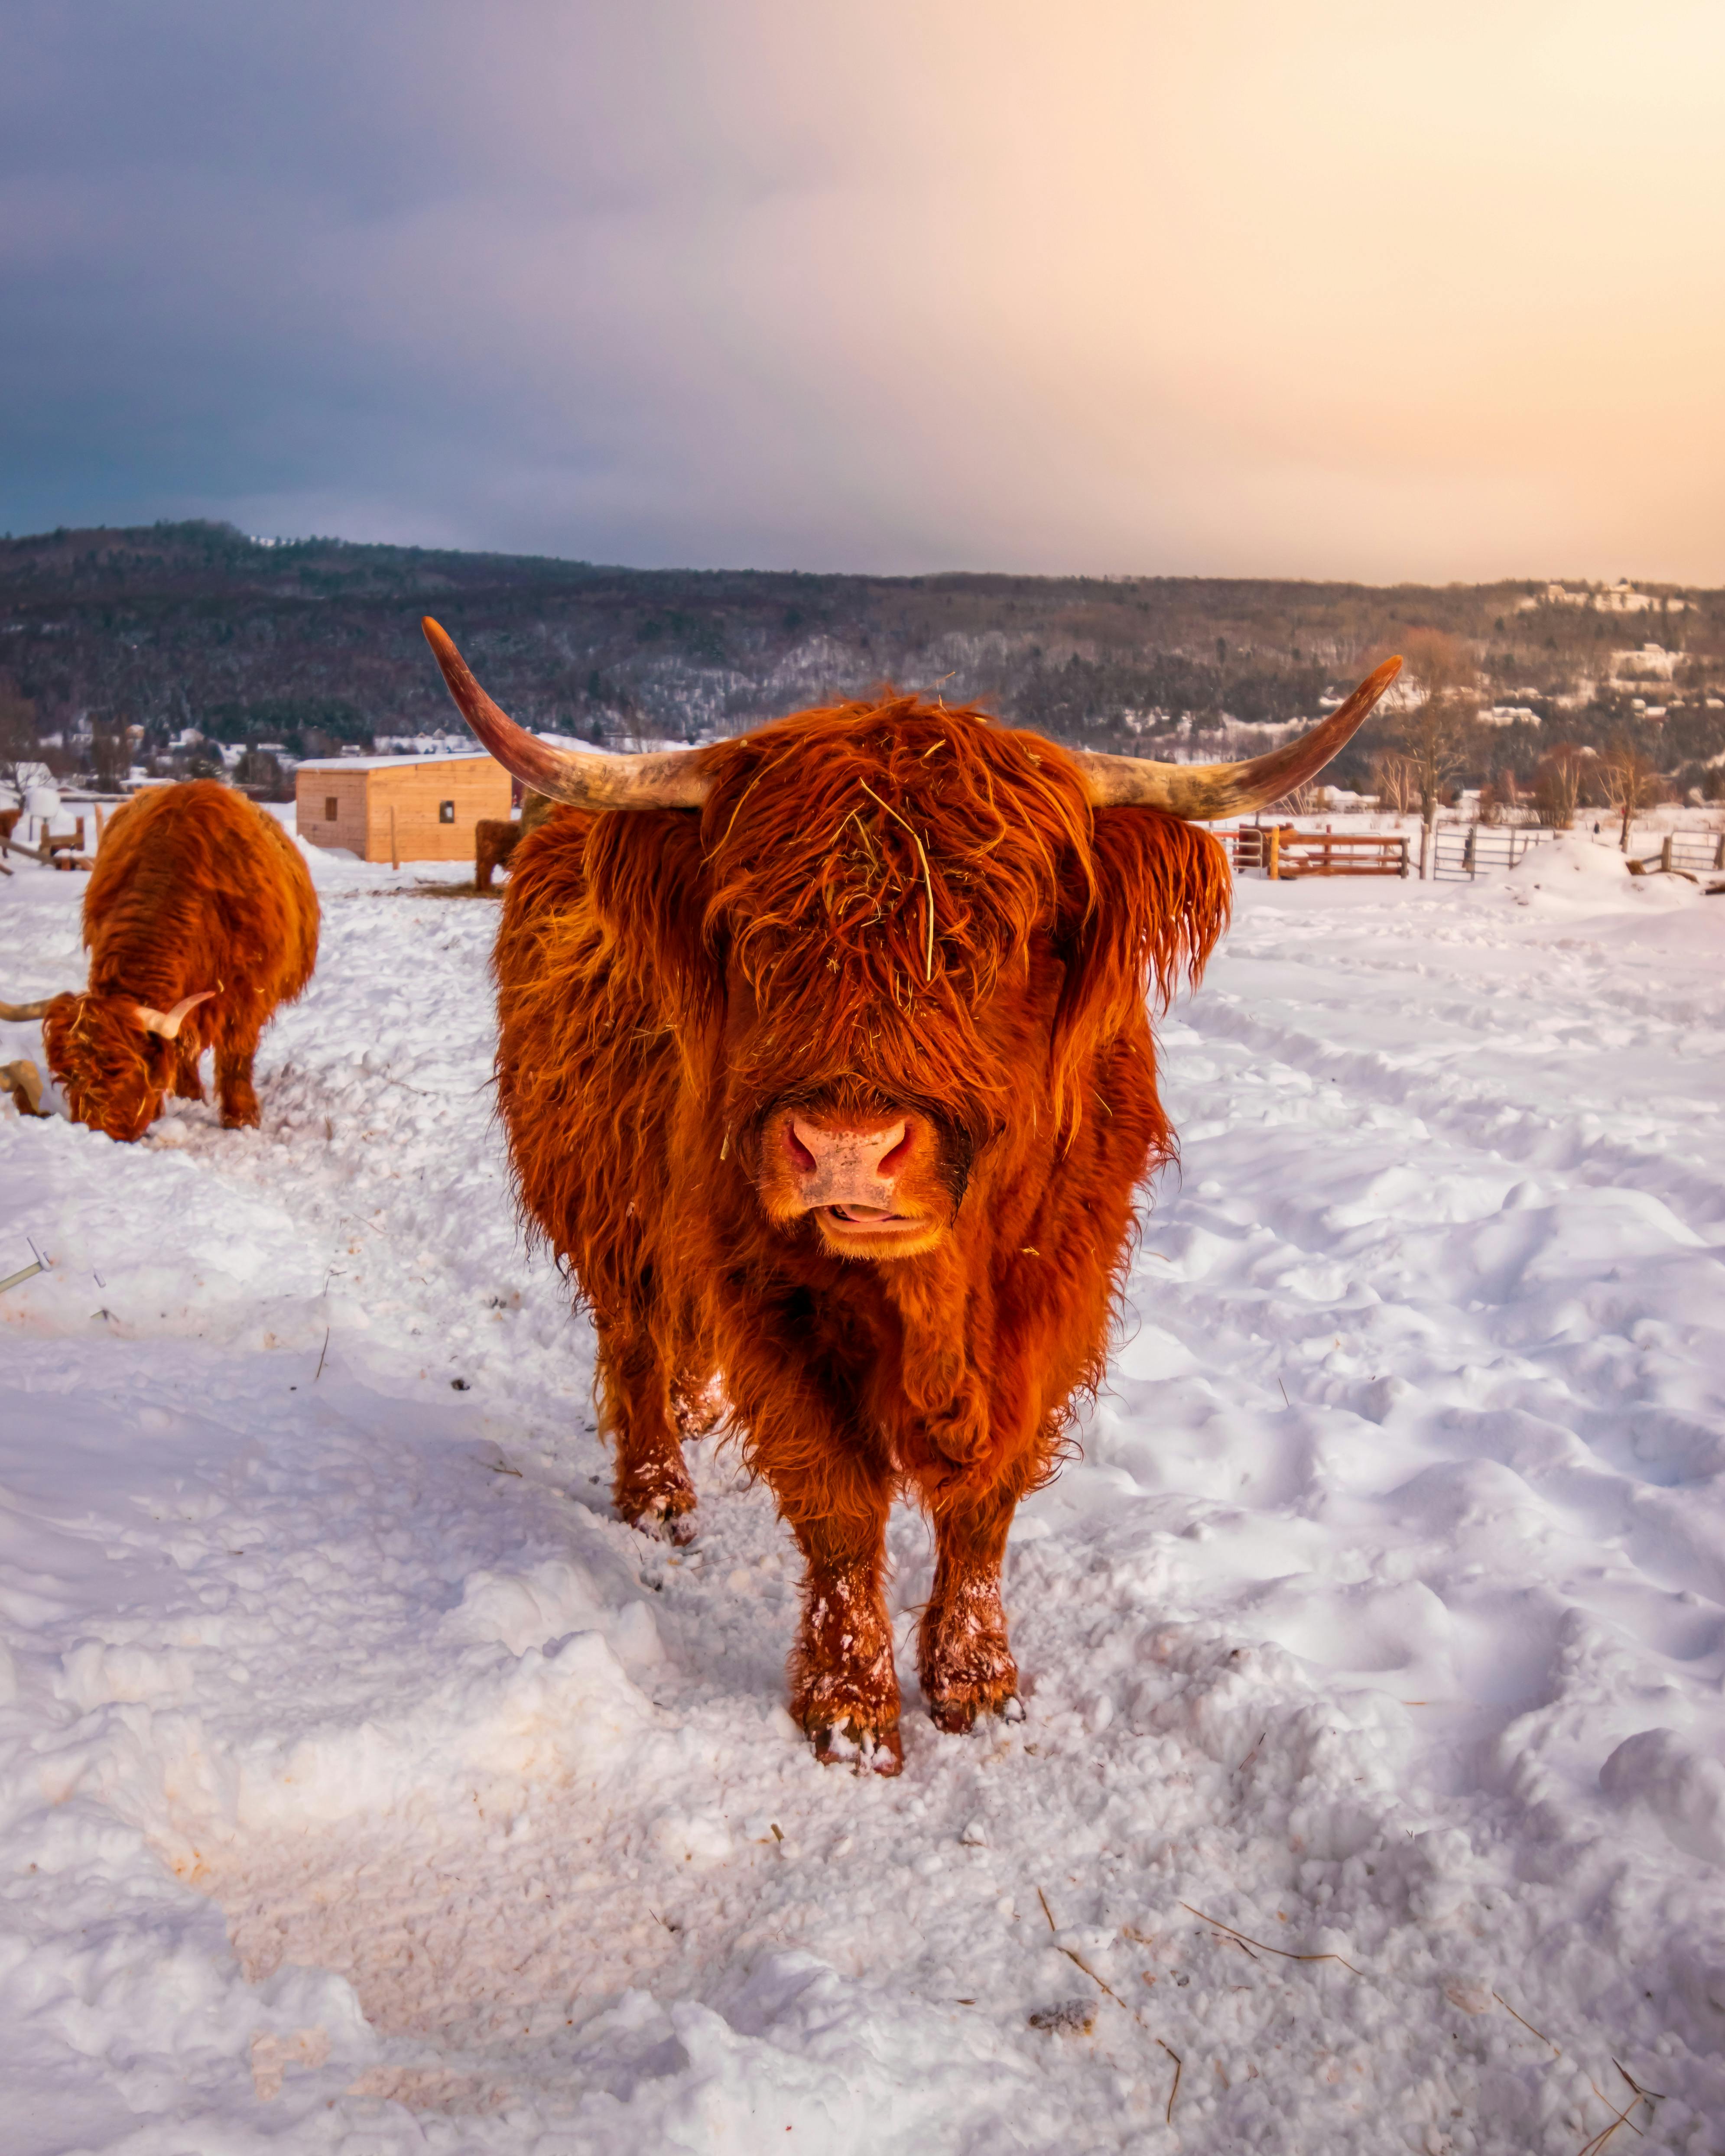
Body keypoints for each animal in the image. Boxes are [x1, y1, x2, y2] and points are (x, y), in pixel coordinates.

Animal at [0, 780, 319, 1141]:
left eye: (121, 1070)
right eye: (67, 1074)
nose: (99, 1133)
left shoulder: (247, 994)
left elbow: (236, 1055)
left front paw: (242, 1118)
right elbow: (181, 1044)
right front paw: (186, 1097)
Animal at [423, 616, 1398, 1774]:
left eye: (1002, 934)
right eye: (754, 929)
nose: (846, 1149)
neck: (937, 1299)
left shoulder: (1048, 1301)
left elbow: (984, 1508)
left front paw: (976, 1678)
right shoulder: (771, 1298)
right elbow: (839, 1502)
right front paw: (849, 1704)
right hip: (606, 1205)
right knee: (635, 1342)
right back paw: (658, 1491)